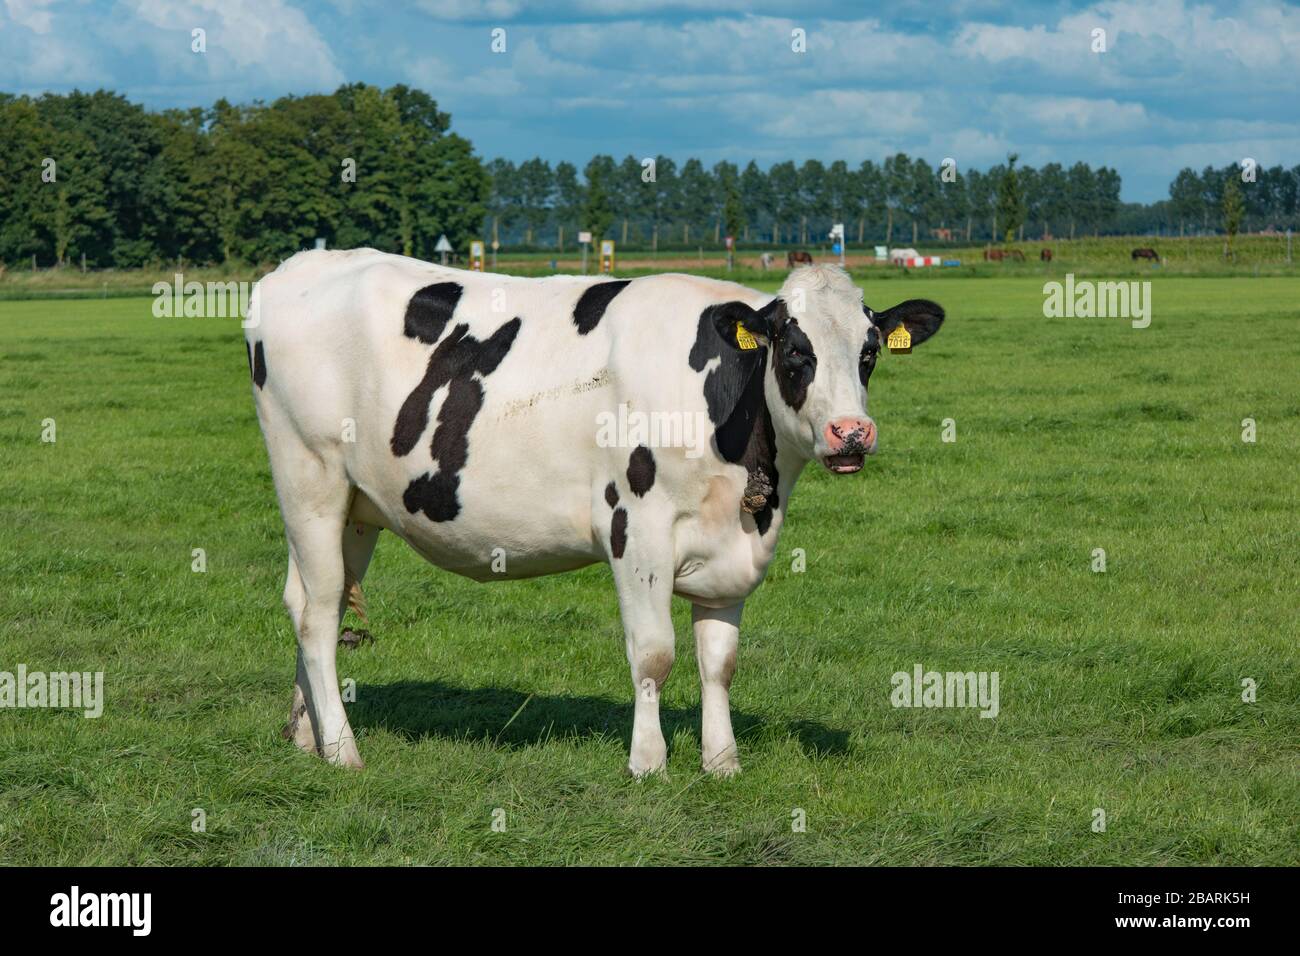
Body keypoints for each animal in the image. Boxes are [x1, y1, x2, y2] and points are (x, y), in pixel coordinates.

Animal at [245, 251, 944, 776]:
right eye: (796, 351)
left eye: (870, 352)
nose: (852, 433)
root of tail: (300, 265)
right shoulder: (637, 529)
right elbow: (655, 653)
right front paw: (649, 762)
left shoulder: (732, 549)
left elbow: (719, 661)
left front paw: (721, 762)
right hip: (309, 478)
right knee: (317, 614)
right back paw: (342, 750)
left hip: (357, 507)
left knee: (312, 602)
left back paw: (305, 736)